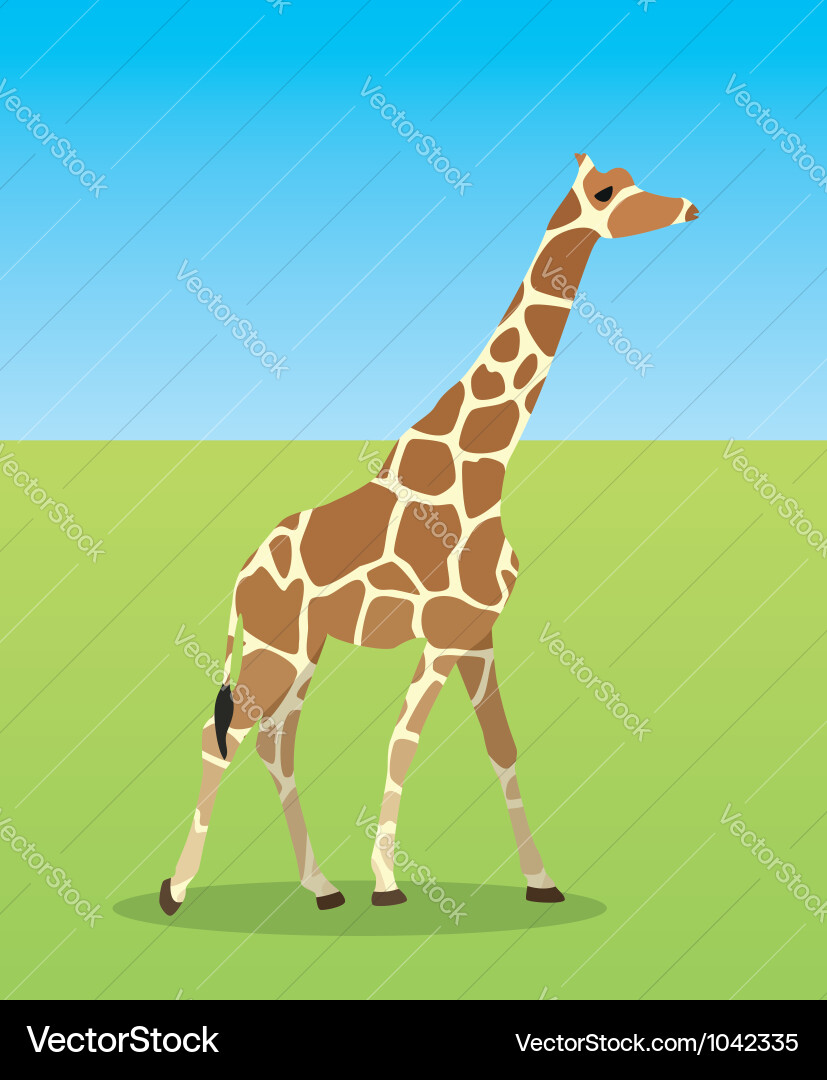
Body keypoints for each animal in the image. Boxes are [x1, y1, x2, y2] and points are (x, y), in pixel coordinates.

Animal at [159, 153, 697, 915]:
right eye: (606, 191)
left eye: (633, 178)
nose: (688, 208)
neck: (485, 468)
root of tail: (239, 579)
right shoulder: (443, 632)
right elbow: (404, 740)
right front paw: (388, 883)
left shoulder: (477, 633)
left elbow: (501, 746)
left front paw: (541, 882)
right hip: (275, 646)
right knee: (223, 735)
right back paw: (177, 888)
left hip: (304, 647)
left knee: (273, 742)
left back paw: (322, 887)